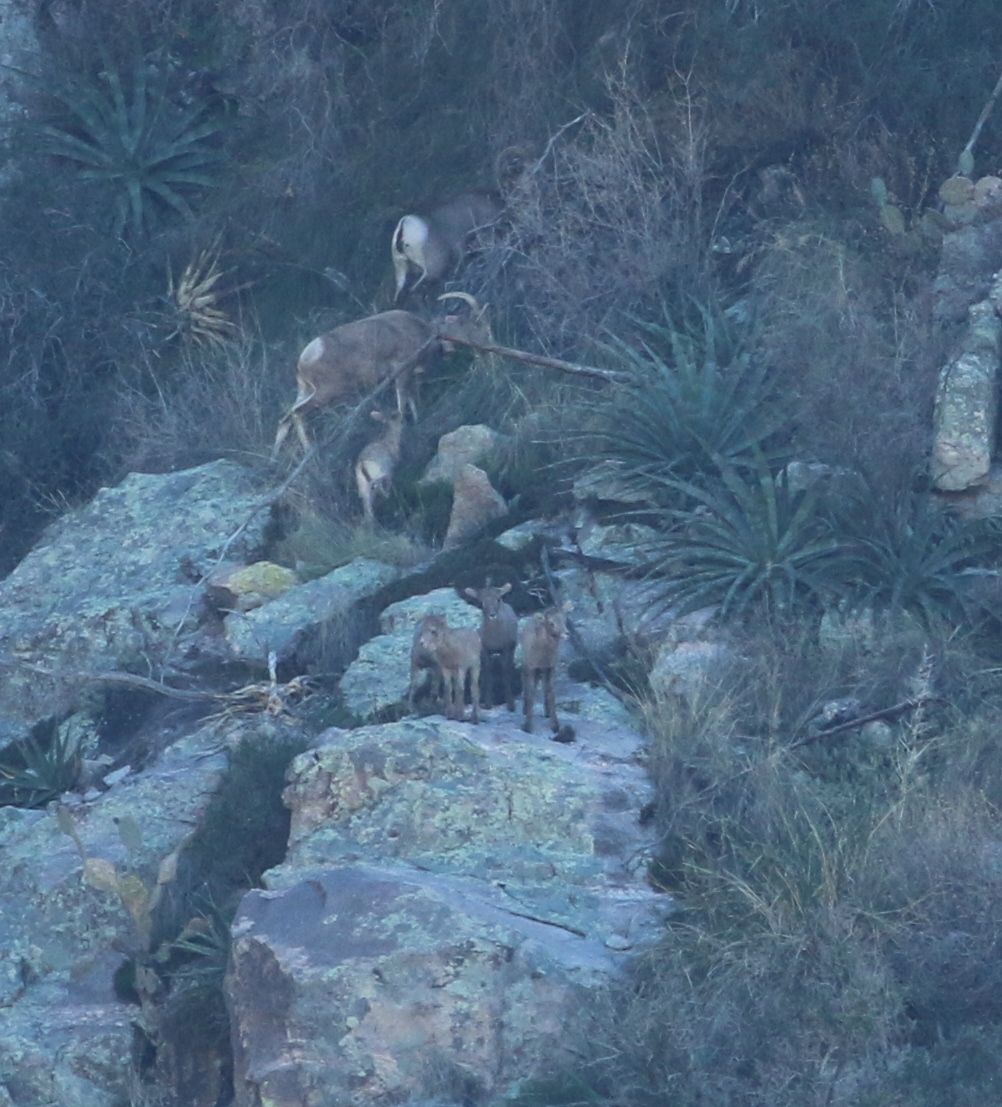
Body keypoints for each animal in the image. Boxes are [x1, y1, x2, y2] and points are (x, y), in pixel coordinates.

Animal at [272, 293, 491, 458]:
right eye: (476, 324)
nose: (489, 347)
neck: (423, 333)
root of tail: (305, 359)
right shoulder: (401, 374)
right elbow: (402, 405)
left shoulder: (410, 378)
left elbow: (413, 401)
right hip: (325, 393)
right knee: (297, 414)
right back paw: (309, 451)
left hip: (306, 391)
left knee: (285, 419)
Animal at [463, 581, 518, 711]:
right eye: (482, 602)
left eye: (498, 599)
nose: (492, 615)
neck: (495, 638)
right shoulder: (485, 649)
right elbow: (487, 672)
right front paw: (488, 703)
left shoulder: (506, 648)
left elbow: (505, 671)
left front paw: (511, 704)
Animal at [520, 600, 573, 737]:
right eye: (551, 623)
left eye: (564, 619)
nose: (566, 633)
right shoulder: (531, 668)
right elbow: (531, 694)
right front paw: (527, 726)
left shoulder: (550, 668)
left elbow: (551, 693)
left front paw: (555, 726)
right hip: (526, 666)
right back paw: (524, 709)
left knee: (544, 687)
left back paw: (547, 712)